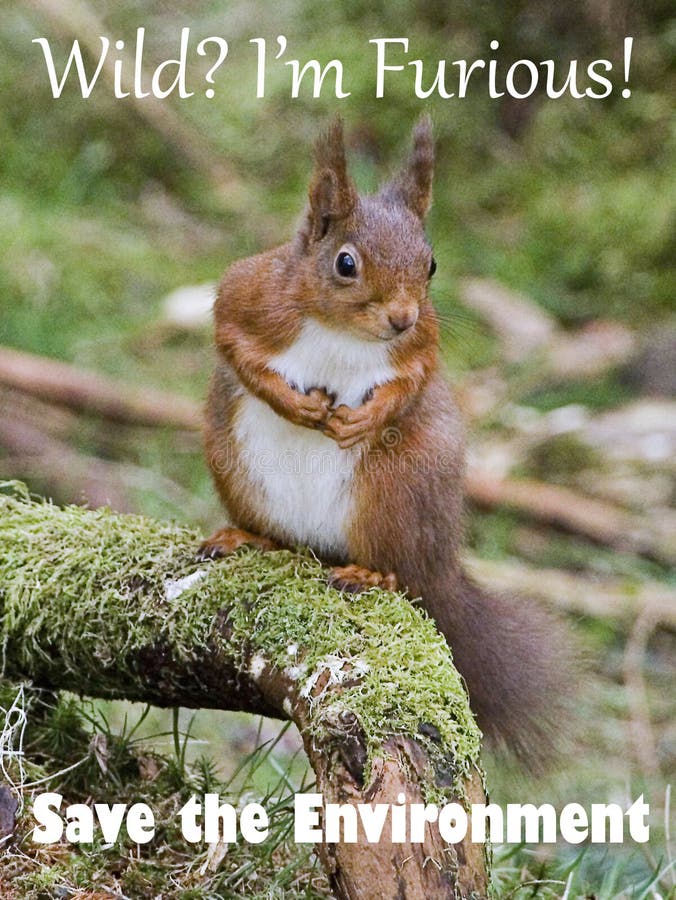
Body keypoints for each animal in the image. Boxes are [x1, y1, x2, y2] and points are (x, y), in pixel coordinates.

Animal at [201, 117, 573, 761]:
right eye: (345, 263)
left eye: (432, 264)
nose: (401, 316)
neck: (340, 330)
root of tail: (441, 563)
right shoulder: (249, 292)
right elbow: (230, 337)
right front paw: (295, 403)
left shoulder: (422, 342)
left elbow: (415, 376)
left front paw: (363, 419)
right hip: (234, 462)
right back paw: (251, 537)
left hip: (395, 493)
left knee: (403, 573)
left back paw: (375, 574)